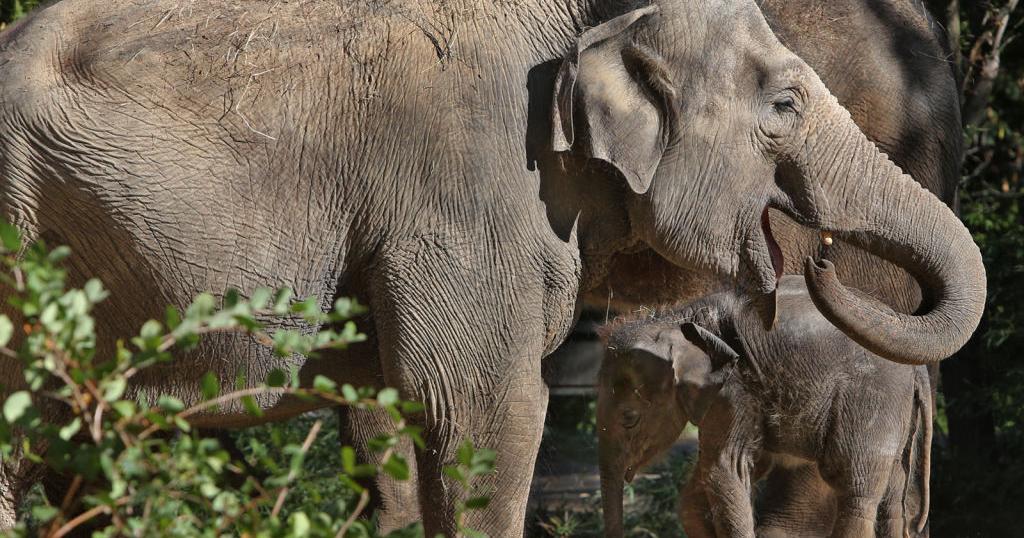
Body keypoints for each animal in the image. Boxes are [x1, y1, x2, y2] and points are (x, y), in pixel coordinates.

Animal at [597, 276, 934, 537]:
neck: (677, 319)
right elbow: (704, 488)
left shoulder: (733, 390)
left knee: (857, 492)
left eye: (629, 418)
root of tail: (918, 368)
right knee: (893, 500)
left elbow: (723, 469)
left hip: (871, 401)